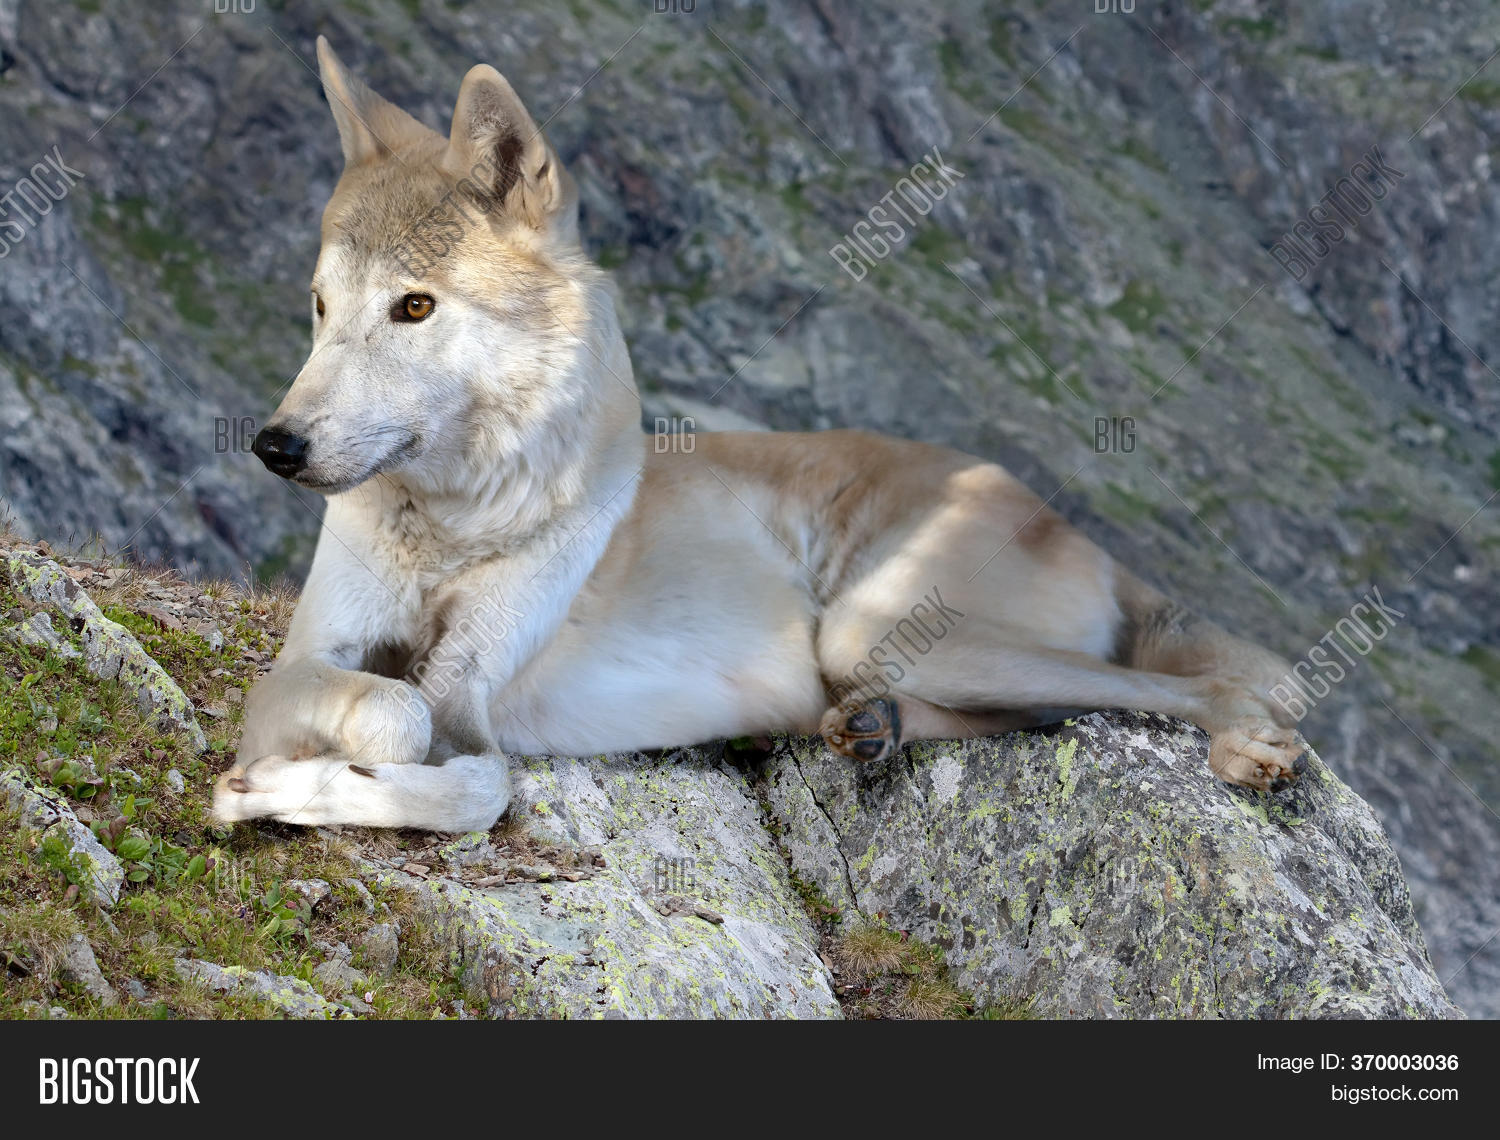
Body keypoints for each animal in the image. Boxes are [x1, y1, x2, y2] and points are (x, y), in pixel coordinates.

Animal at [212, 38, 1306, 832]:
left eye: (413, 307)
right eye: (319, 306)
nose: (275, 445)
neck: (460, 524)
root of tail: (1061, 518)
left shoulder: (470, 697)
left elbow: (462, 771)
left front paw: (282, 790)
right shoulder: (311, 652)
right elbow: (389, 706)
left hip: (875, 623)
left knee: (1176, 684)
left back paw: (1247, 745)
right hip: (873, 649)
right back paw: (874, 727)